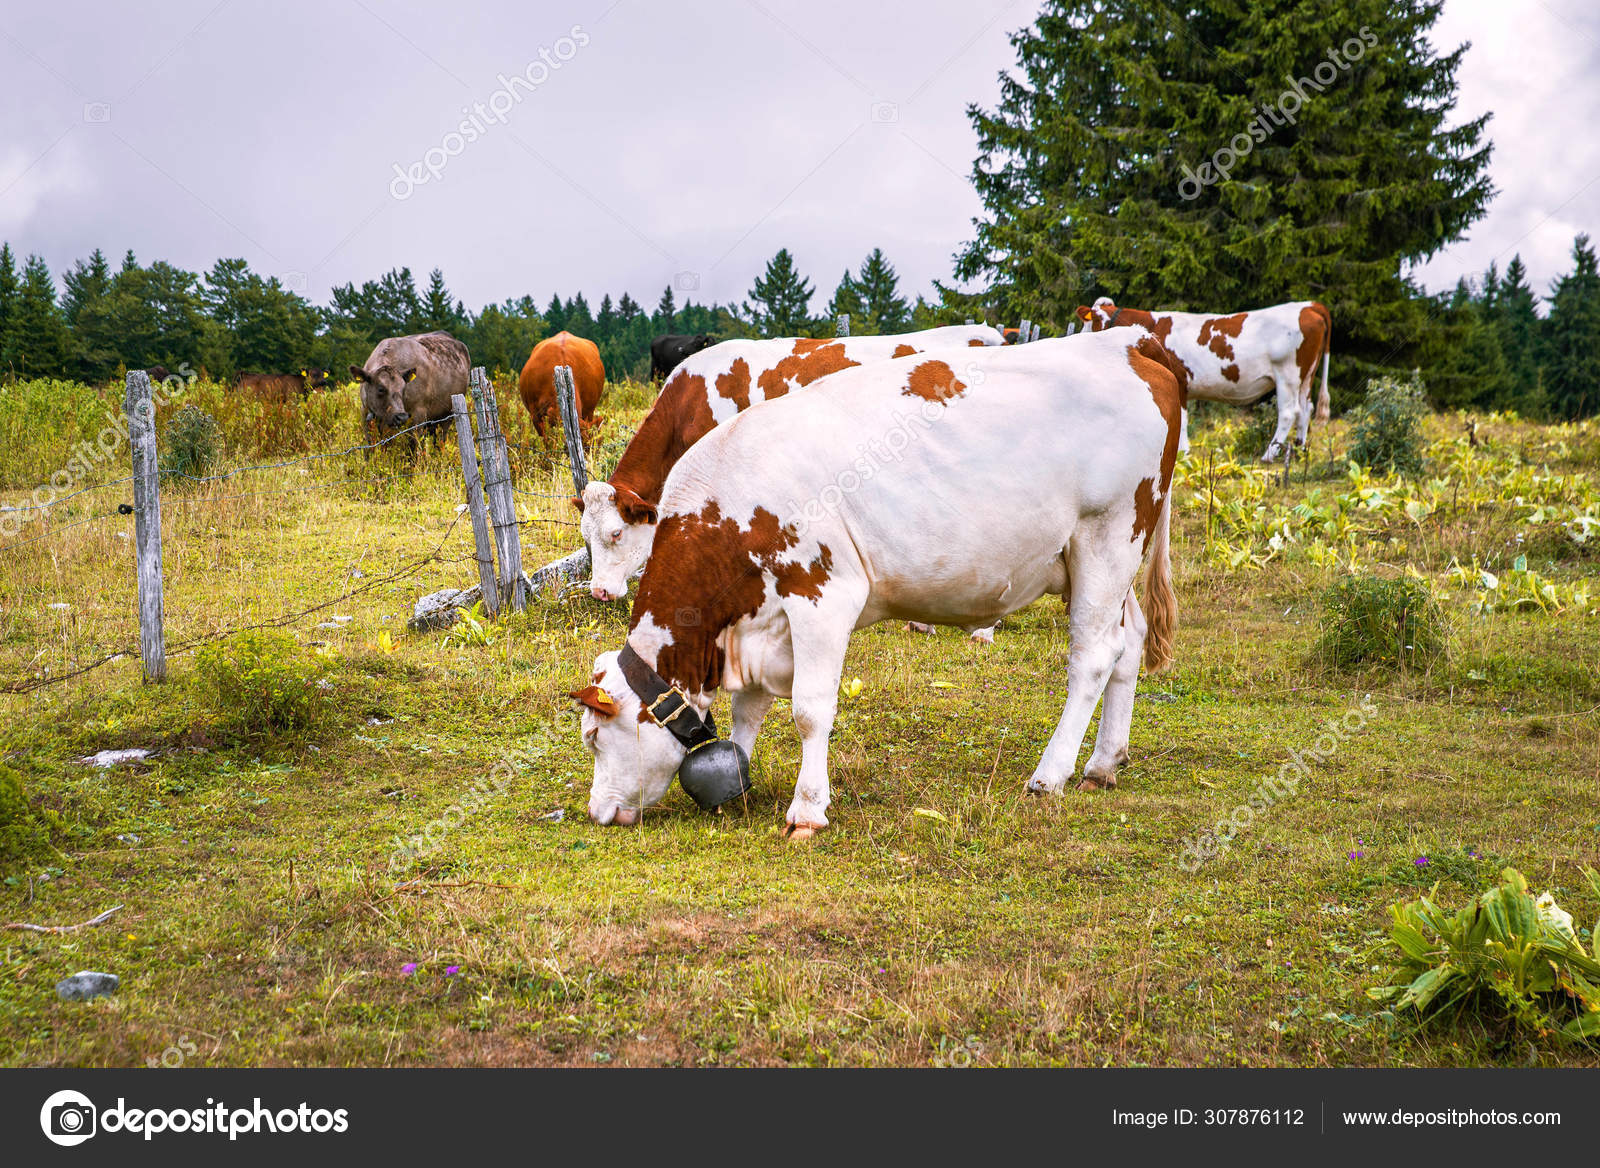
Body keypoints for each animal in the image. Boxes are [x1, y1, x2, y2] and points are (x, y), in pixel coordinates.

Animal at [1075, 297, 1331, 462]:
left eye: (1089, 322)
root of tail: (1308, 306)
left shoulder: (1180, 380)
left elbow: (1182, 420)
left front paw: (1182, 455)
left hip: (1288, 375)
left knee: (1289, 412)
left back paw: (1269, 455)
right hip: (1306, 376)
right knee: (1306, 408)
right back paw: (1299, 451)